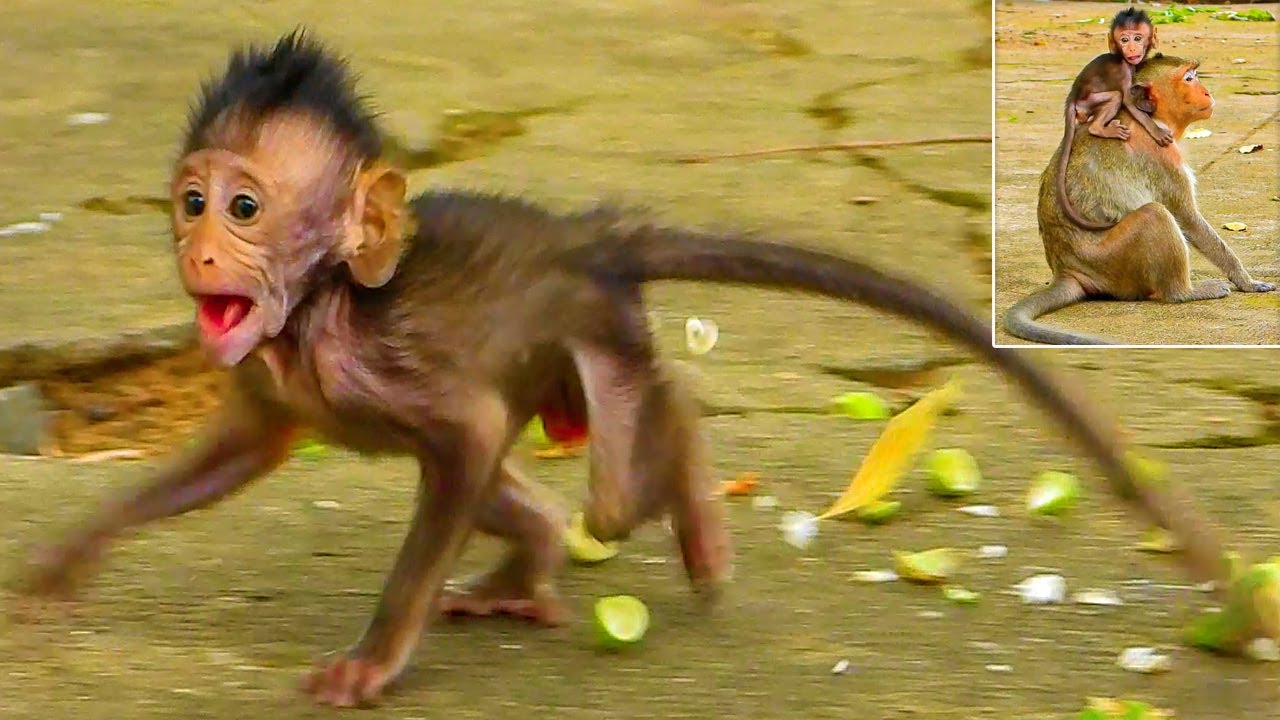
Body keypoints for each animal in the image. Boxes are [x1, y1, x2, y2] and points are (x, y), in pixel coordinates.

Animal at [15, 32, 1236, 708]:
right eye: (189, 200)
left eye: (243, 207)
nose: (196, 251)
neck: (319, 312)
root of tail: (588, 238)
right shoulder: (274, 385)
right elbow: (240, 452)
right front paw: (69, 557)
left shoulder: (386, 363)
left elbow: (460, 438)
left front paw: (373, 660)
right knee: (543, 492)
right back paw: (528, 567)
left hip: (598, 333)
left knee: (629, 457)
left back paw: (683, 491)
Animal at [1005, 53, 1276, 345]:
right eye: (1188, 78)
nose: (1206, 92)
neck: (1151, 118)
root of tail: (1065, 268)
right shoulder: (1163, 155)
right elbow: (1186, 218)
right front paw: (1246, 281)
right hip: (1112, 260)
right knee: (1155, 214)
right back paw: (1184, 292)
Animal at [1056, 7, 1173, 231]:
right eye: (1124, 39)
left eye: (1138, 38)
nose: (1132, 47)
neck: (1123, 58)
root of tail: (1072, 97)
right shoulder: (1124, 69)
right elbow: (1127, 99)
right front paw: (1157, 131)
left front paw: (1146, 101)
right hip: (1088, 103)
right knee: (1116, 97)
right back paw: (1100, 129)